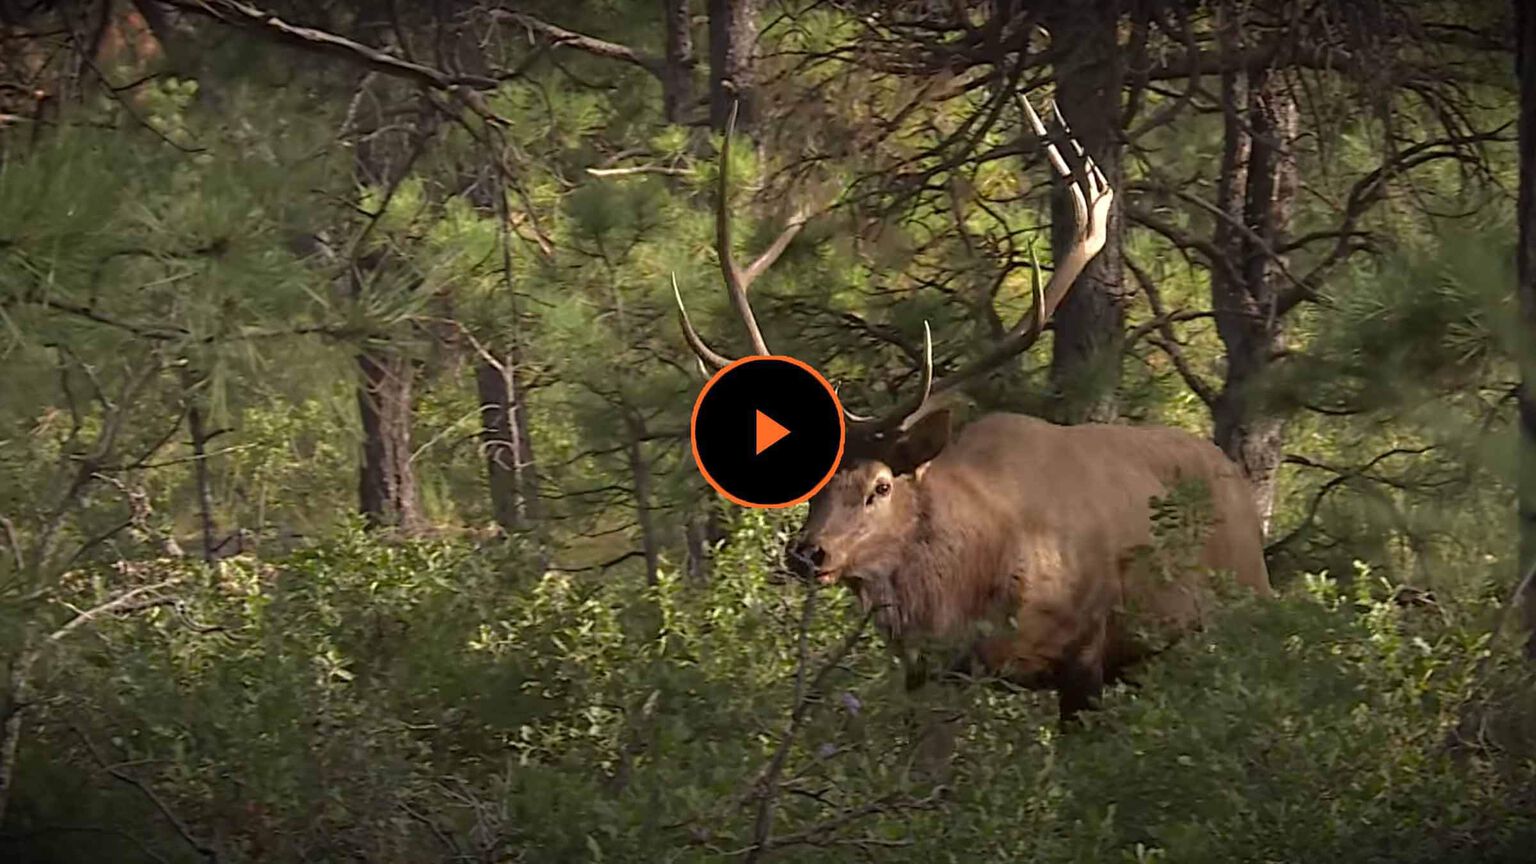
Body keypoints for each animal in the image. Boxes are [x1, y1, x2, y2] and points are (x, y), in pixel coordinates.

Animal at [673, 92, 1273, 746]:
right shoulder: (930, 671)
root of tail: (1238, 484)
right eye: (814, 485)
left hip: (1228, 609)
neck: (976, 582)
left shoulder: (1086, 651)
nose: (809, 554)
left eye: (881, 486)